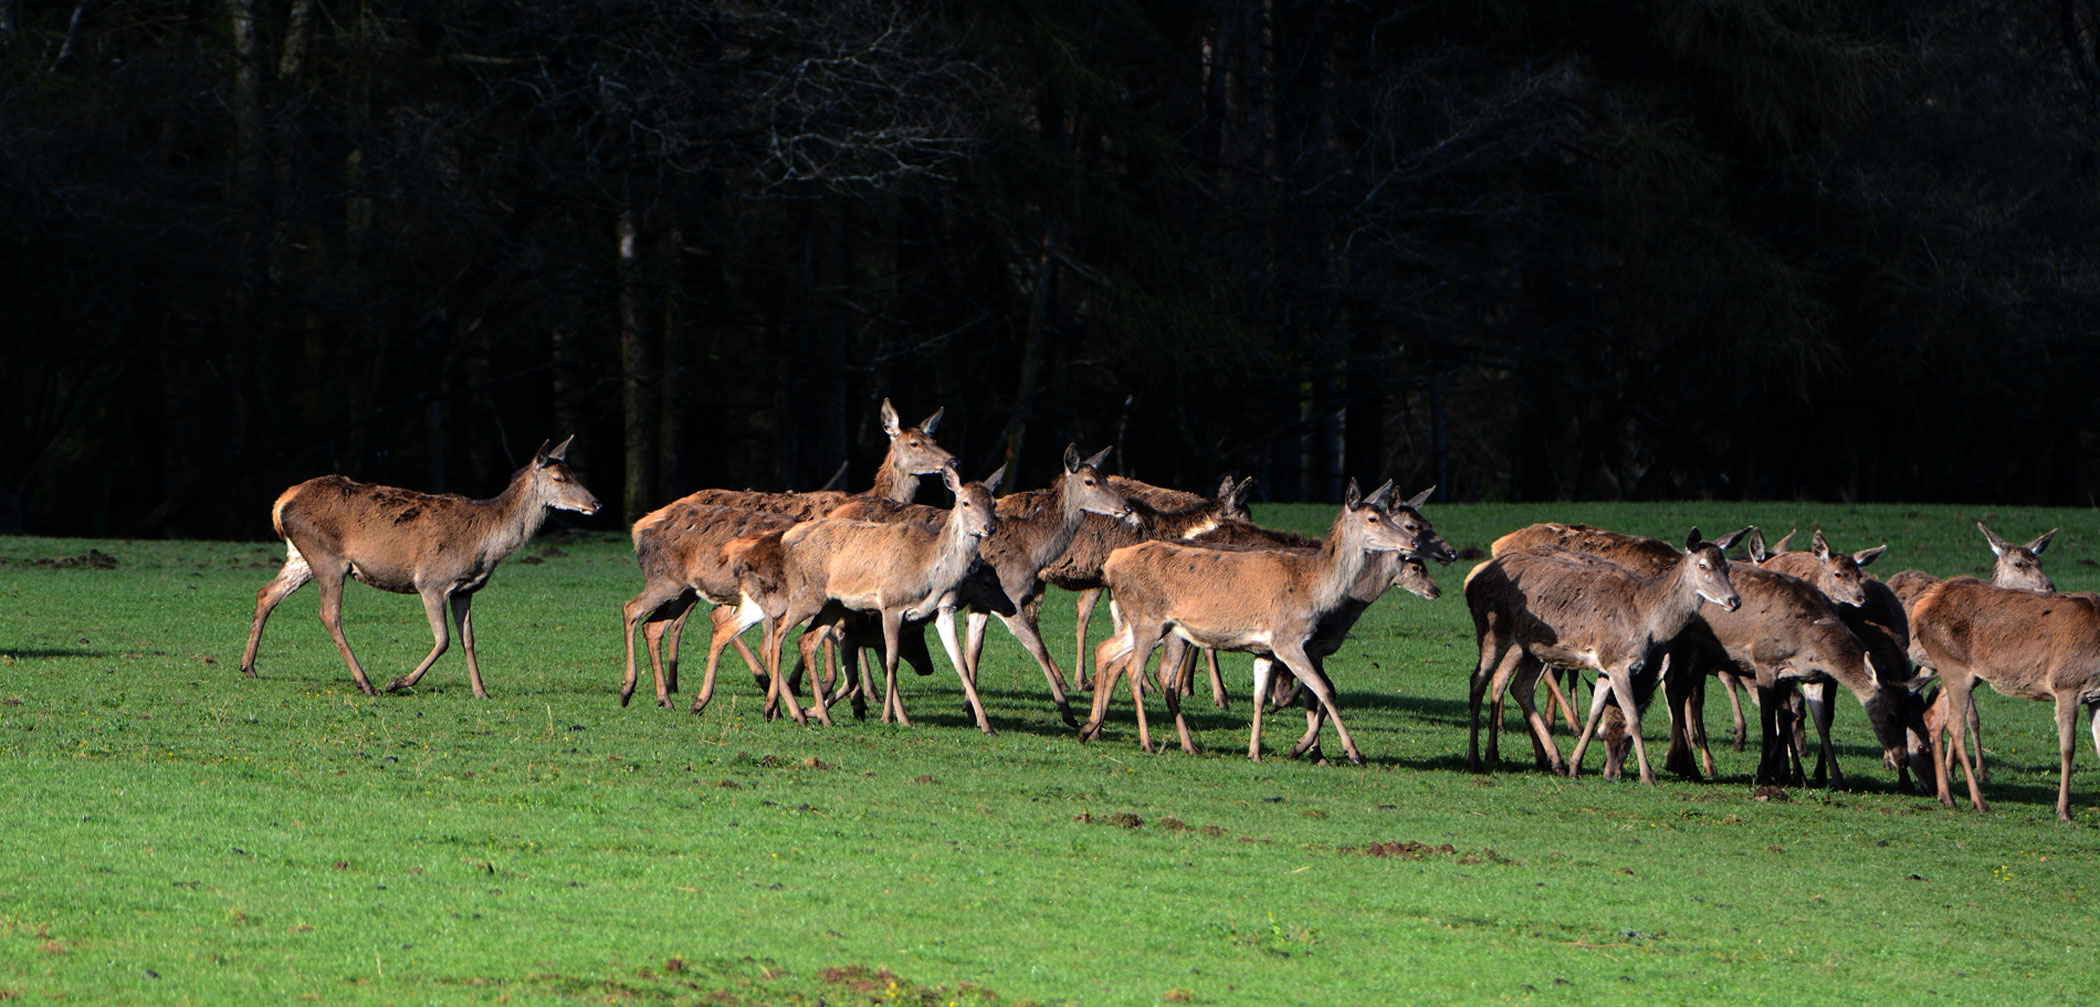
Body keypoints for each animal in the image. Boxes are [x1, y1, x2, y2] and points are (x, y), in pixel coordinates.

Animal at [240, 436, 600, 704]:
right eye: (559, 478)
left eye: (575, 474)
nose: (596, 503)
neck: (486, 543)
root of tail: (281, 503)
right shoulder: (432, 581)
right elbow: (443, 640)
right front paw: (399, 681)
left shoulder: (466, 590)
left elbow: (469, 639)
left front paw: (481, 692)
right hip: (327, 558)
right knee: (329, 614)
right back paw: (367, 684)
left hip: (301, 558)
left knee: (266, 593)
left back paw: (249, 667)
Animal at [613, 396, 961, 704]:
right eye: (914, 443)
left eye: (932, 437)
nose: (952, 460)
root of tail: (640, 525)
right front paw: (836, 687)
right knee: (660, 614)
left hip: (695, 586)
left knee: (675, 622)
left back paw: (673, 687)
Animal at [1075, 480, 1436, 763]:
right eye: (1374, 518)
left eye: (1391, 516)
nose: (1414, 543)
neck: (1312, 586)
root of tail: (1113, 562)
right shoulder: (1289, 640)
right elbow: (1324, 690)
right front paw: (1350, 752)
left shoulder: (1264, 649)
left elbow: (1261, 696)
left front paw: (1256, 751)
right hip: (1148, 619)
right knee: (1136, 670)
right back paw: (1146, 742)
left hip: (1155, 626)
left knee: (1113, 652)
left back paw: (1098, 730)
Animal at [1461, 530, 1738, 784]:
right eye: (1703, 565)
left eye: (1727, 566)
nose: (1734, 600)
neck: (1646, 621)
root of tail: (1472, 580)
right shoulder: (1617, 661)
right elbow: (1632, 716)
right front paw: (1648, 776)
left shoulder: (1605, 666)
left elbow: (1595, 711)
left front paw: (1575, 766)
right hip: (1492, 630)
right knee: (1478, 680)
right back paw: (1476, 759)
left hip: (1531, 648)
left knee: (1521, 688)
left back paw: (1555, 761)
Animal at [1906, 574, 2100, 818]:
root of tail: (1921, 605)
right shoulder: (2067, 685)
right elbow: (2068, 748)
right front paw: (2064, 810)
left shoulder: (2095, 697)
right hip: (1954, 666)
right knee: (1955, 725)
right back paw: (1978, 801)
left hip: (1964, 673)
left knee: (1934, 716)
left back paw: (1946, 796)